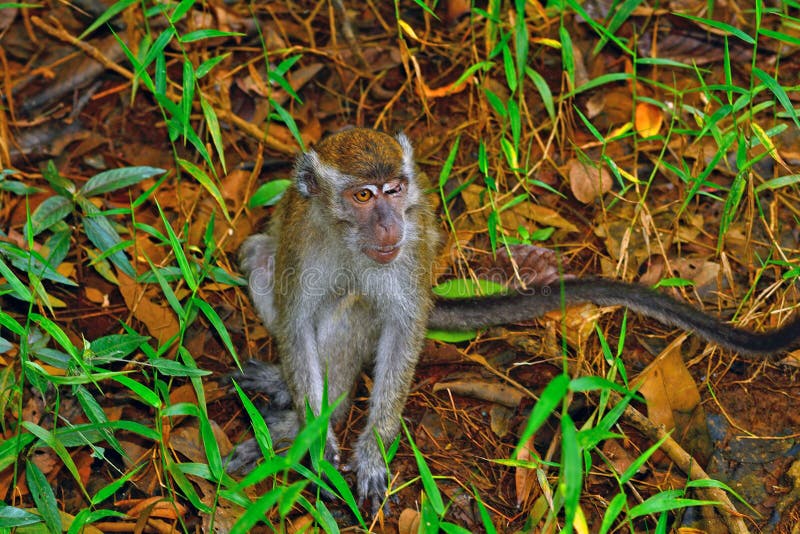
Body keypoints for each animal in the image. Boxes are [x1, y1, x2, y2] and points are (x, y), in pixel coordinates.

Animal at [230, 127, 800, 514]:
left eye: (394, 189)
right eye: (362, 195)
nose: (391, 224)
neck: (349, 242)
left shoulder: (408, 254)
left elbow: (403, 328)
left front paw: (366, 446)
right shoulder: (303, 241)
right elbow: (296, 321)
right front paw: (313, 434)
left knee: (354, 307)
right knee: (260, 255)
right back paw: (284, 396)